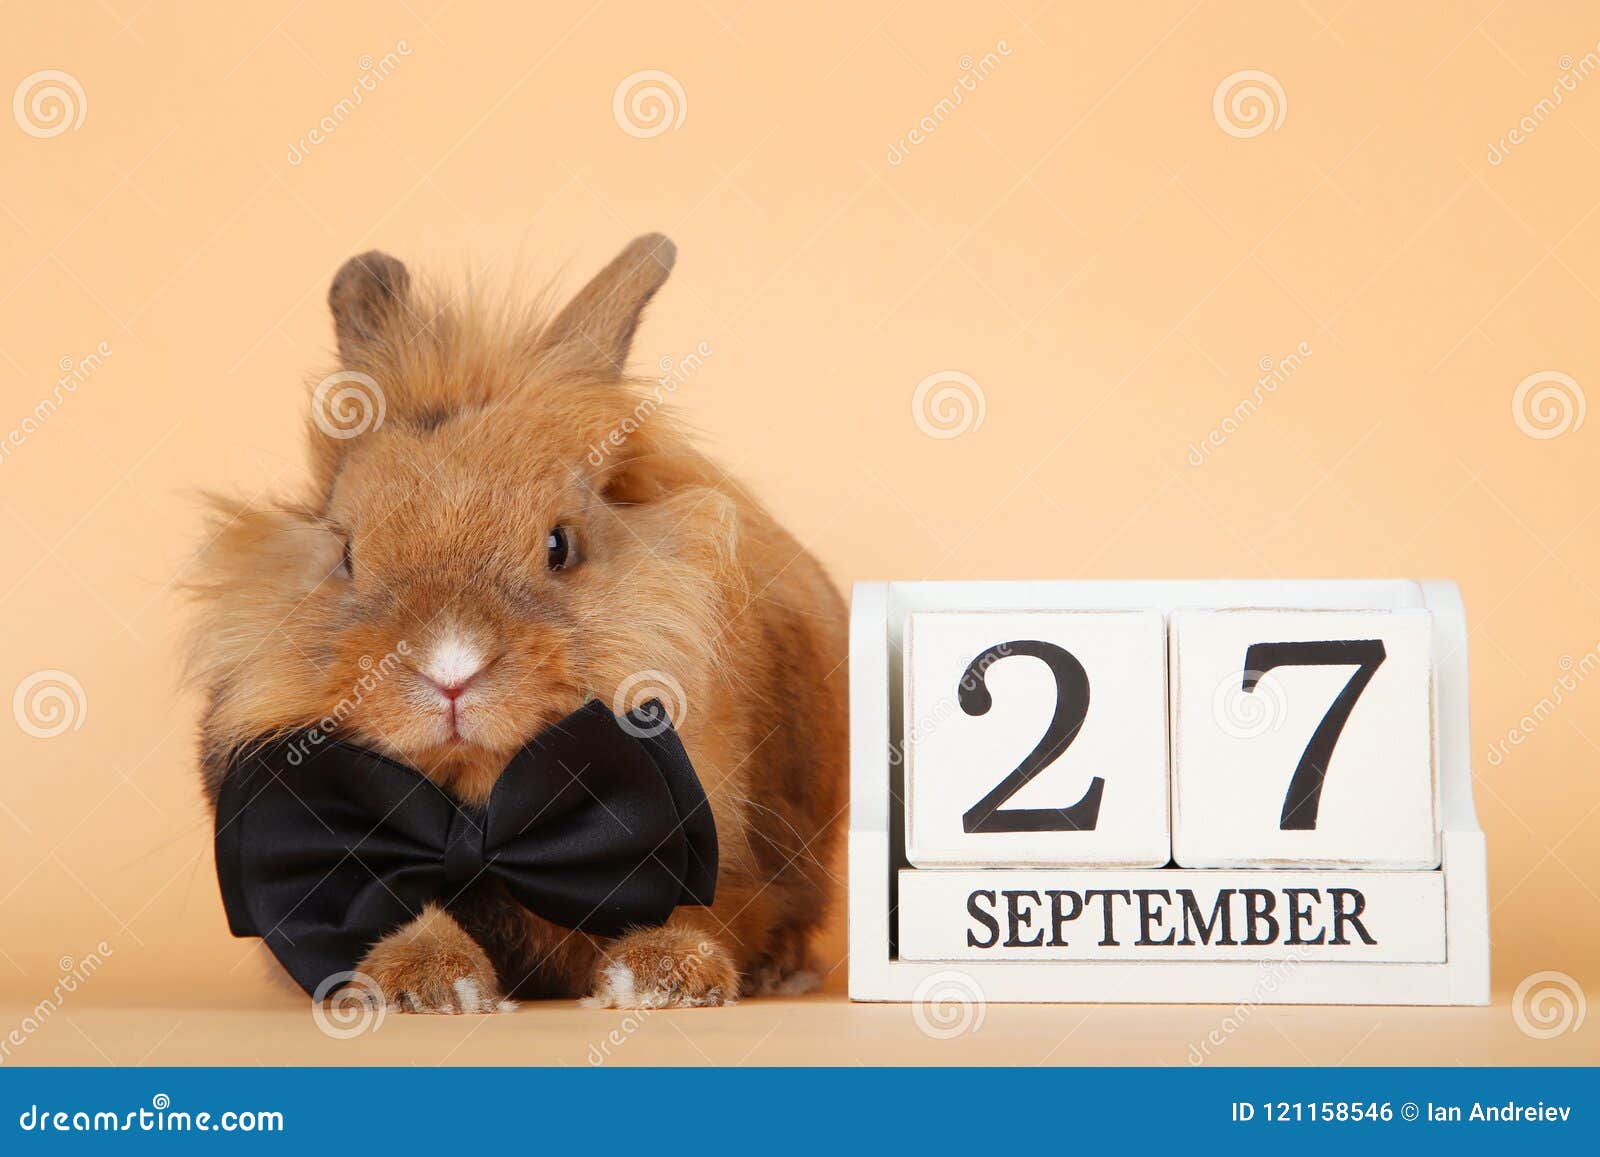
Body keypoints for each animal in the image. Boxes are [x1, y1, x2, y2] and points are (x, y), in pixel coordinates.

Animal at [187, 234, 848, 1012]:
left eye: (560, 545)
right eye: (346, 553)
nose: (450, 668)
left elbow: (691, 915)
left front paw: (666, 978)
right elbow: (395, 919)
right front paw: (428, 984)